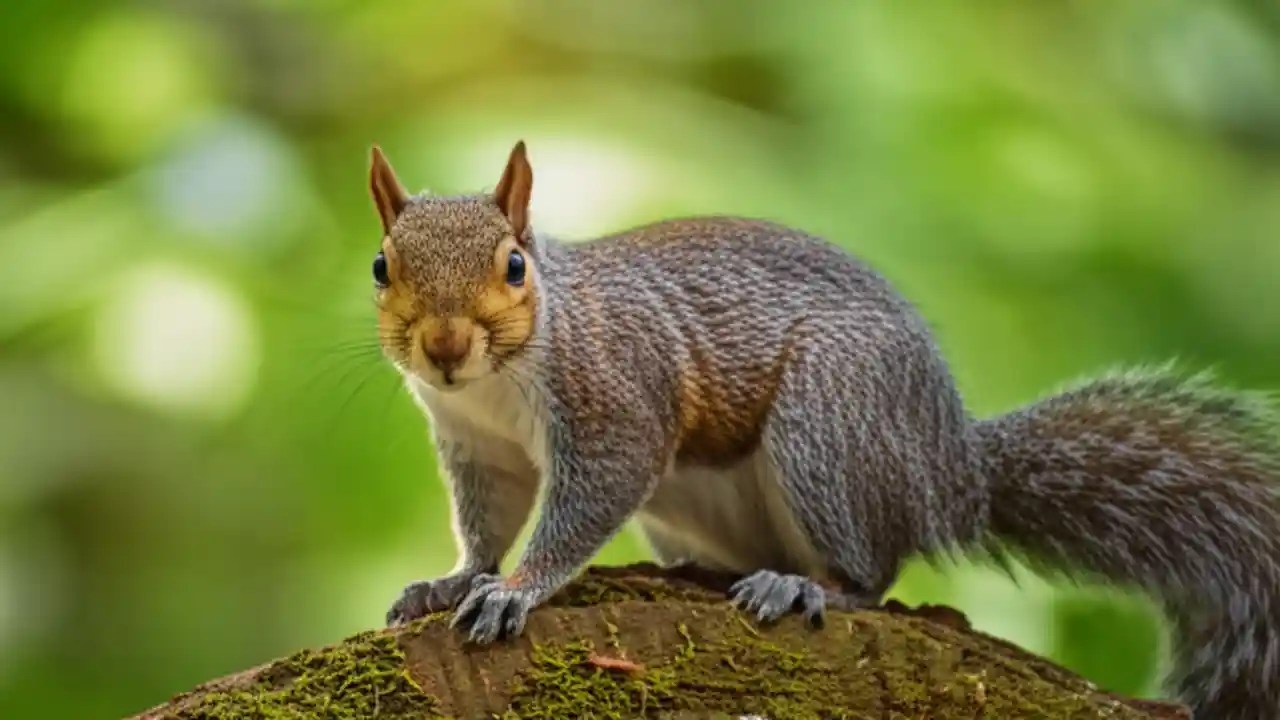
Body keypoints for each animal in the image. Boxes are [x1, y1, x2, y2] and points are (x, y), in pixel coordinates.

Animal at [369, 140, 1280, 720]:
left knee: (873, 575)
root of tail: (952, 471)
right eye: (382, 266)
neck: (495, 383)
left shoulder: (616, 398)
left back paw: (808, 588)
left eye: (515, 265)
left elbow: (585, 502)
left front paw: (516, 591)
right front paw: (456, 580)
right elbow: (488, 522)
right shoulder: (479, 448)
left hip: (828, 427)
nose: (444, 347)